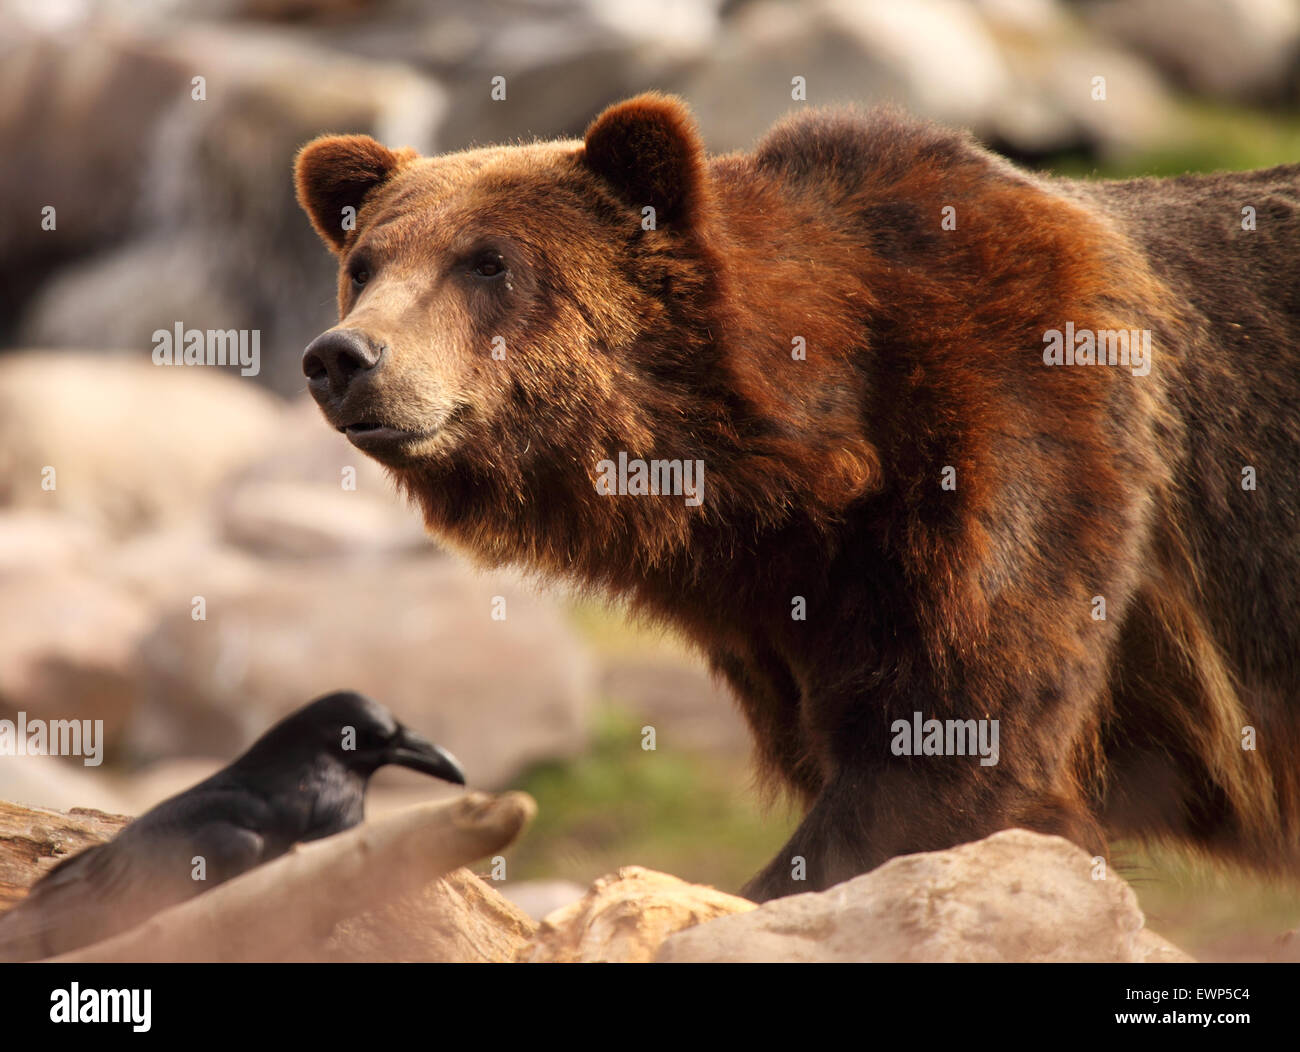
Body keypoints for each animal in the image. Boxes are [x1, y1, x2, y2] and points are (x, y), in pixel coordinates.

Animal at [294, 93, 1300, 902]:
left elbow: (949, 748)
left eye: (488, 261)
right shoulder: (783, 613)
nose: (343, 356)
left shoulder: (1027, 434)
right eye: (364, 263)